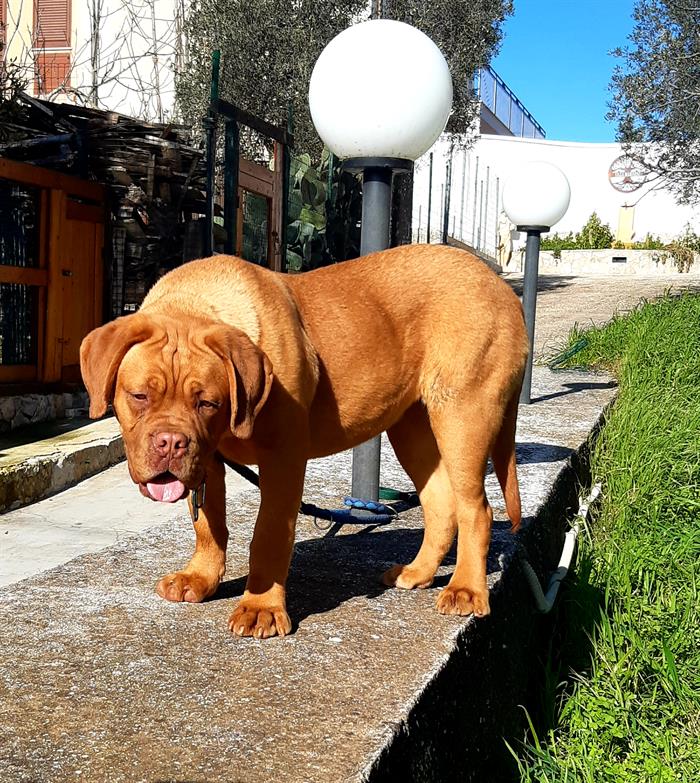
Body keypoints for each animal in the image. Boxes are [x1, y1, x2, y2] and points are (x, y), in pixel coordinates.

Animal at [80, 245, 524, 636]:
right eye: (139, 396)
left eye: (207, 403)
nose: (171, 443)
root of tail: (500, 287)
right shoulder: (208, 462)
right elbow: (209, 524)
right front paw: (200, 577)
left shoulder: (284, 458)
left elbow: (269, 533)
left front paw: (260, 606)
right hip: (412, 427)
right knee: (440, 502)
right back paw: (418, 572)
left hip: (463, 415)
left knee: (476, 508)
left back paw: (465, 588)